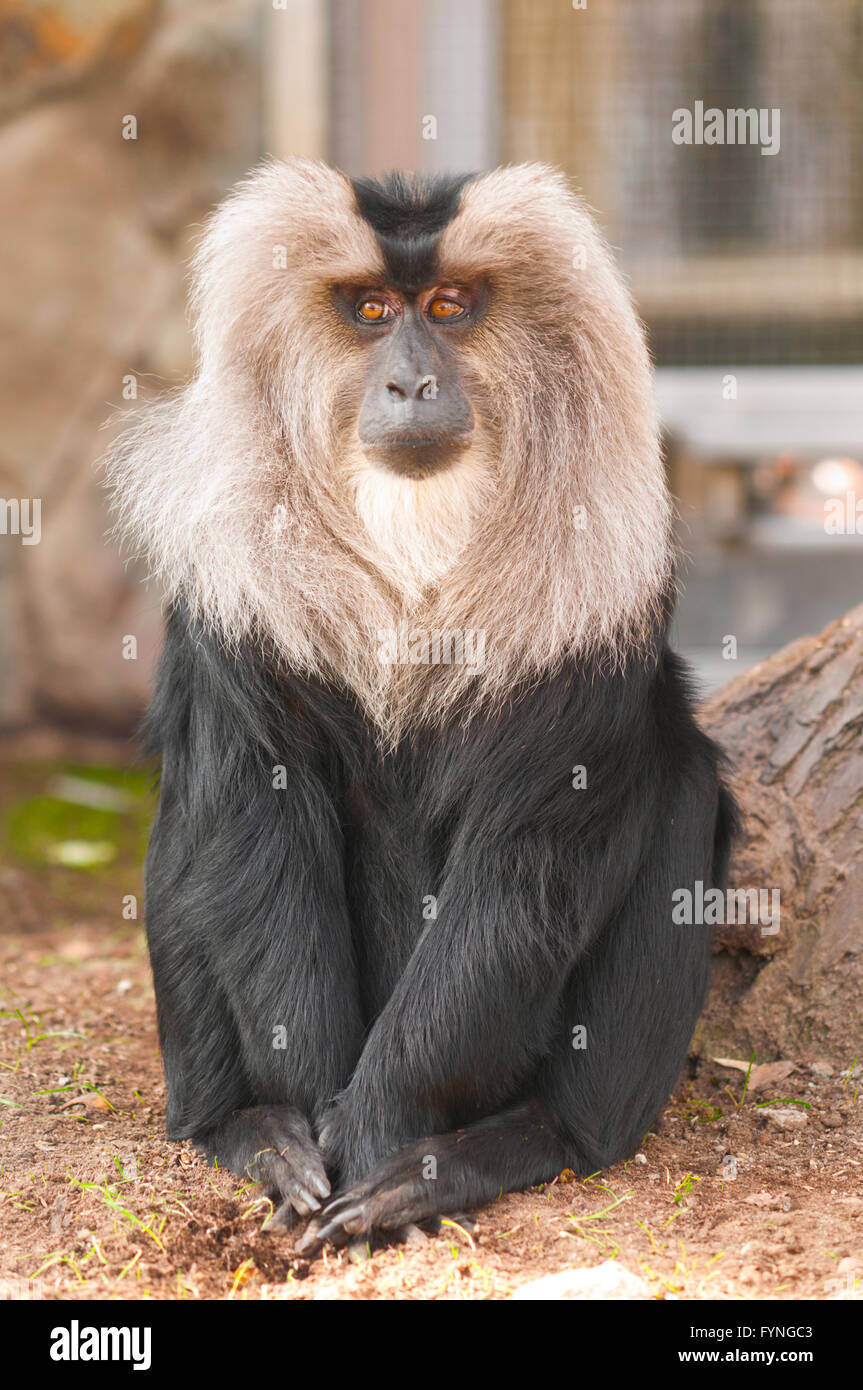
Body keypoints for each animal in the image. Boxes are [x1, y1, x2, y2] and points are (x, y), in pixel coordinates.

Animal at [107, 159, 736, 1255]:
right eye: (369, 310)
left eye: (447, 307)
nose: (409, 383)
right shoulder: (231, 600)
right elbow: (251, 813)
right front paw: (302, 1144)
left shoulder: (596, 606)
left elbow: (529, 865)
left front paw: (387, 1152)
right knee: (191, 819)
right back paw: (243, 1127)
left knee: (681, 789)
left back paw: (516, 1143)